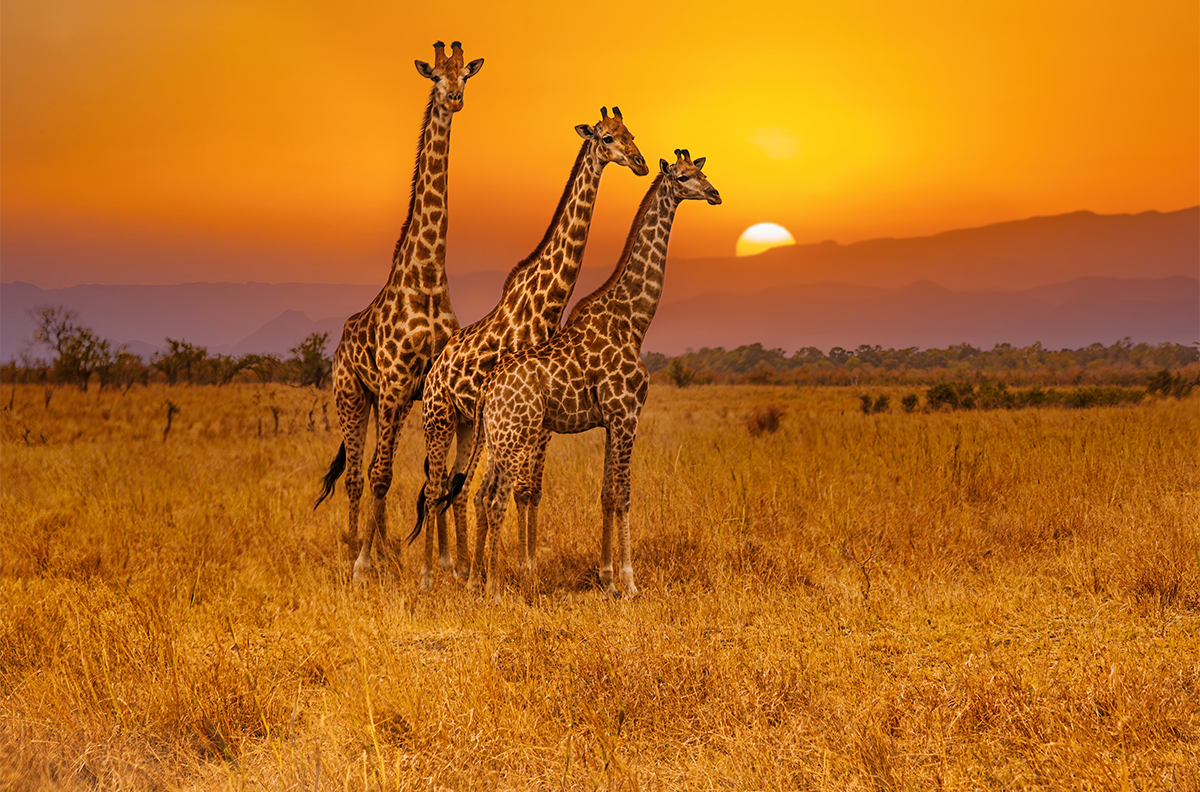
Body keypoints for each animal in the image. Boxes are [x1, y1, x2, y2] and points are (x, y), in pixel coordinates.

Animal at [314, 41, 483, 582]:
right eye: (435, 76)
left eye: (465, 76)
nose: (454, 99)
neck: (427, 277)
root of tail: (340, 342)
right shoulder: (391, 383)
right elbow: (383, 474)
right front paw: (363, 563)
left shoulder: (426, 386)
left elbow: (436, 476)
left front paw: (445, 563)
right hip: (352, 395)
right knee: (357, 473)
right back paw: (355, 549)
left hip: (390, 401)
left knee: (372, 469)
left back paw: (386, 548)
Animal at [408, 107, 649, 589]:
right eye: (608, 137)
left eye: (631, 134)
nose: (639, 162)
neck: (544, 304)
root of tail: (435, 369)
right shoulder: (530, 415)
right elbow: (517, 490)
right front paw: (516, 571)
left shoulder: (543, 418)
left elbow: (530, 490)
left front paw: (525, 566)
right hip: (439, 417)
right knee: (437, 485)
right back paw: (432, 573)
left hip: (468, 424)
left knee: (453, 488)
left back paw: (458, 567)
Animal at [461, 150, 720, 596]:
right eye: (684, 177)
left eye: (701, 172)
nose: (716, 193)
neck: (633, 321)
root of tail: (487, 389)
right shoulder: (627, 414)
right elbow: (624, 495)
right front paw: (629, 582)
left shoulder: (611, 421)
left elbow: (605, 494)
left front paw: (607, 577)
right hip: (517, 437)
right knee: (495, 499)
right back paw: (493, 588)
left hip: (497, 438)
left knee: (481, 495)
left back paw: (478, 582)